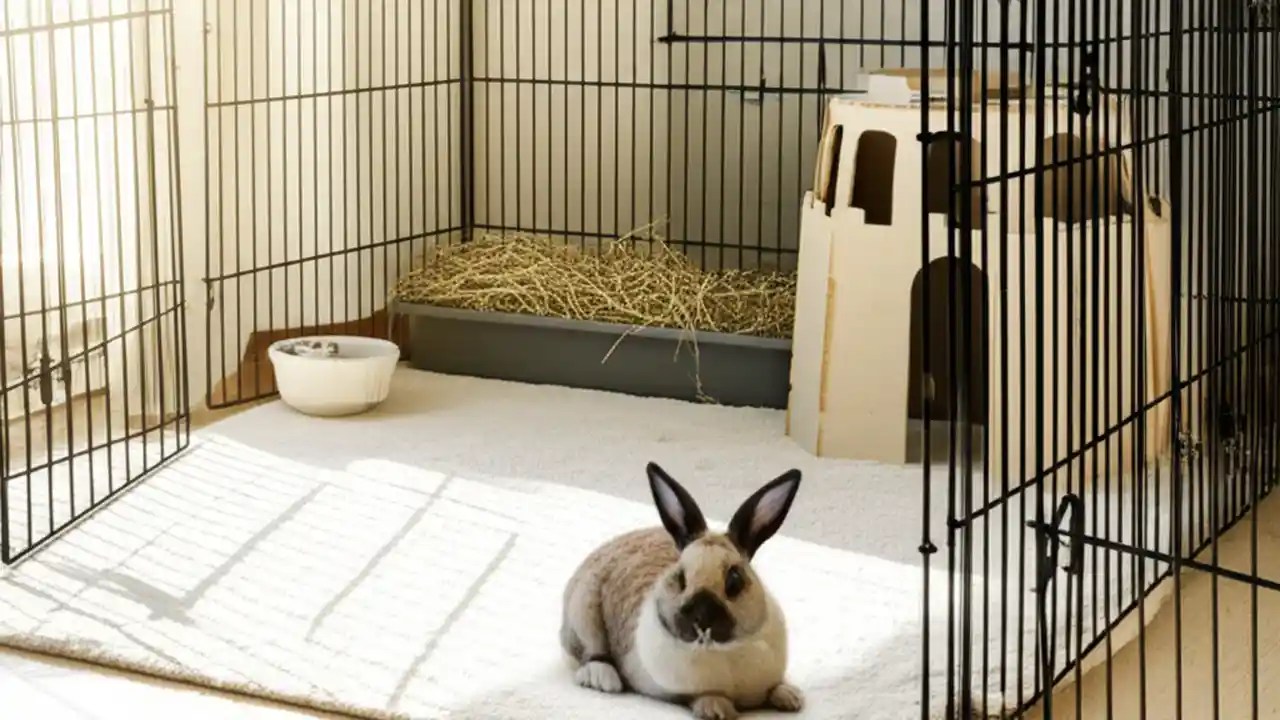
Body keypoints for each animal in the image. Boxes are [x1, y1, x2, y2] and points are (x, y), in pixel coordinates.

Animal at [560, 462, 804, 720]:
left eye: (735, 581)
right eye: (680, 578)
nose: (702, 617)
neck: (723, 651)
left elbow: (774, 687)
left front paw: (791, 696)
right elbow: (698, 697)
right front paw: (716, 708)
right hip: (583, 615)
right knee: (591, 653)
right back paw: (603, 678)